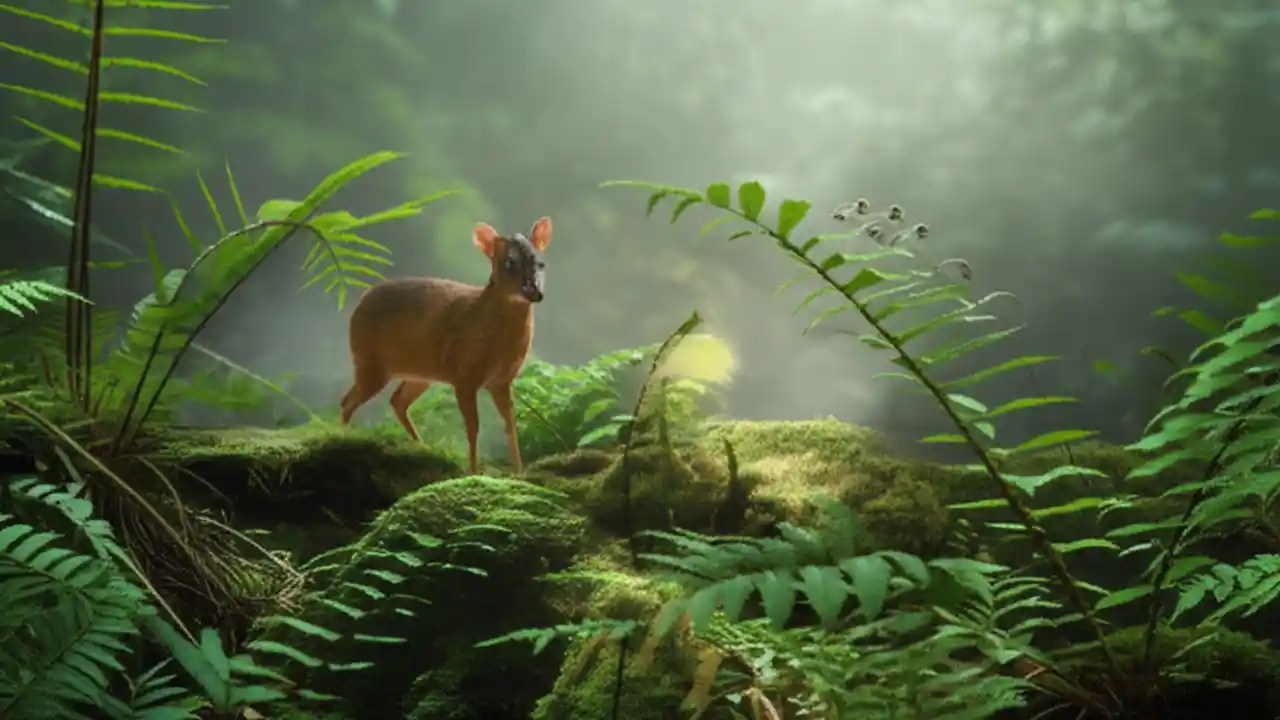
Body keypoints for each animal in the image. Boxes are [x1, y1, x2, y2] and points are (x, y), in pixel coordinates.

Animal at [338, 217, 552, 476]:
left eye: (540, 263)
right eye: (509, 262)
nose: (535, 292)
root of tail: (359, 305)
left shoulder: (502, 381)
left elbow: (510, 424)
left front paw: (518, 473)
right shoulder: (465, 377)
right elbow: (473, 427)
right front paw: (473, 472)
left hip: (420, 374)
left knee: (397, 401)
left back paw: (421, 447)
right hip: (368, 360)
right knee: (348, 401)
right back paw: (341, 439)